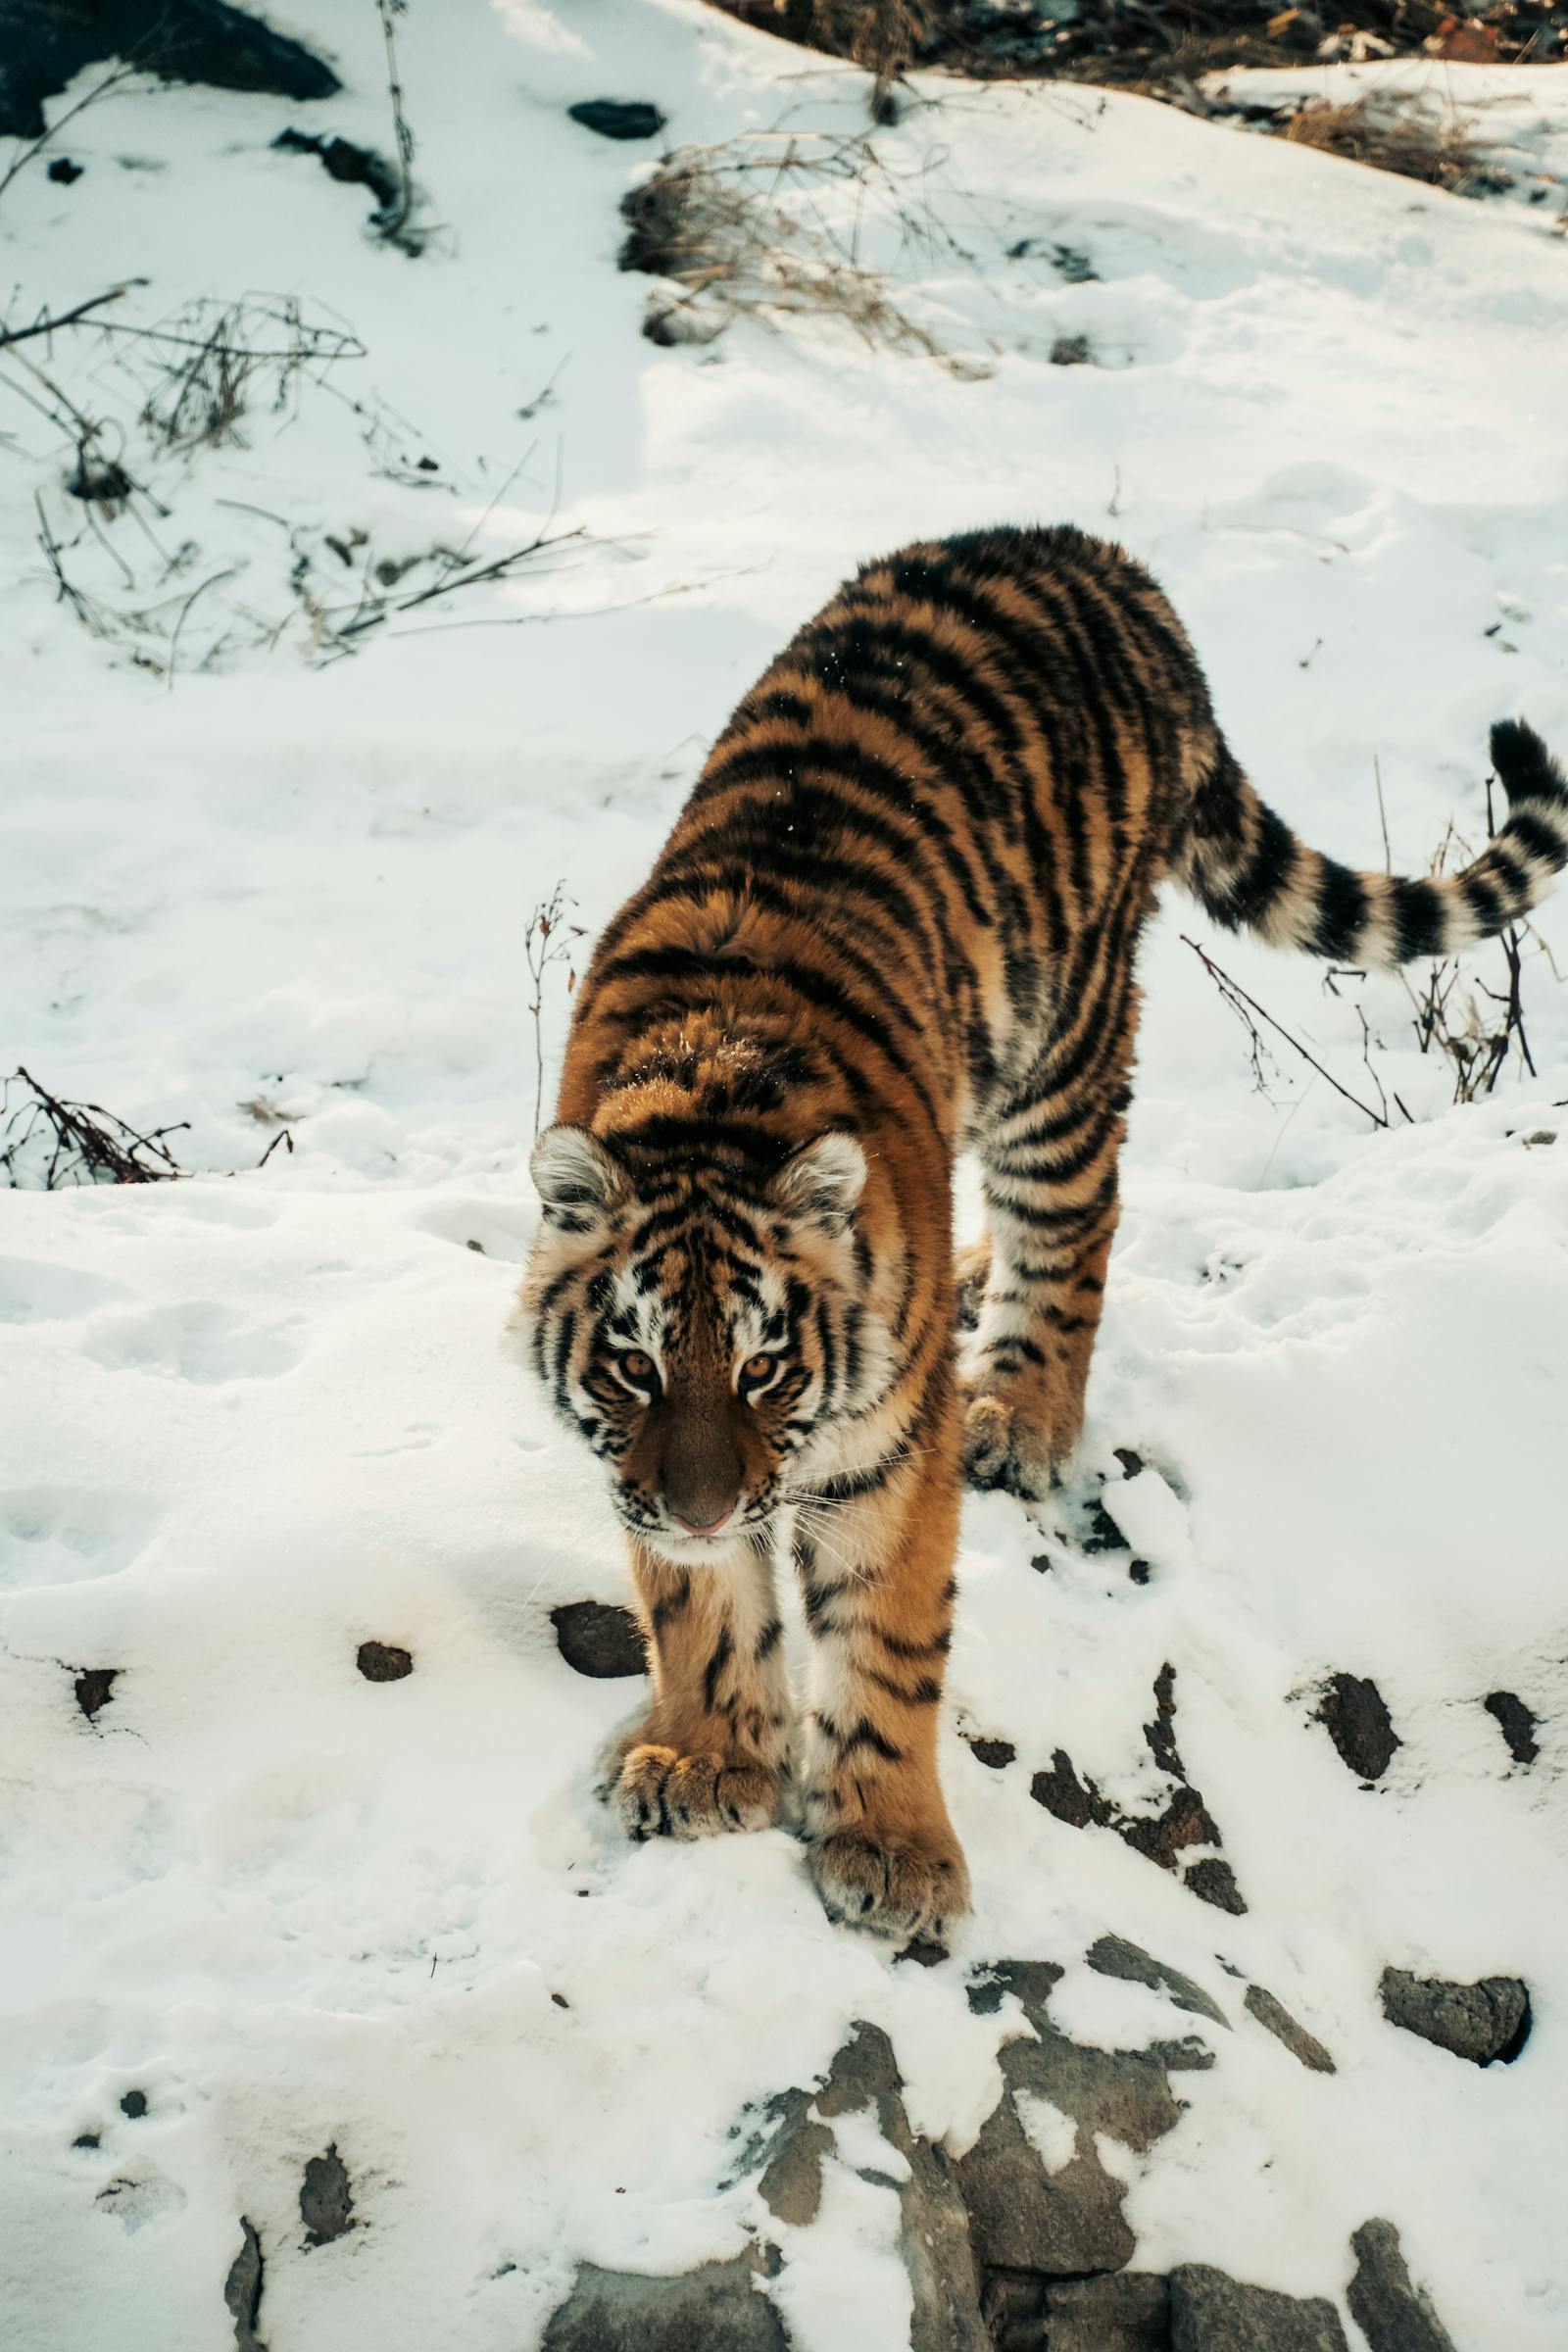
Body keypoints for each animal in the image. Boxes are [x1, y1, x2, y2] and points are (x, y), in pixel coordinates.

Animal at [521, 523, 1568, 1944]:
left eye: (765, 1366)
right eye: (633, 1364)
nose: (701, 1504)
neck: (707, 1103)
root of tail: (1097, 556)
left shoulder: (880, 1456)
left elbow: (886, 1645)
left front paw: (895, 1852)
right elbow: (703, 1613)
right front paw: (709, 1759)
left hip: (1063, 1047)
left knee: (1075, 1234)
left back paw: (1016, 1410)